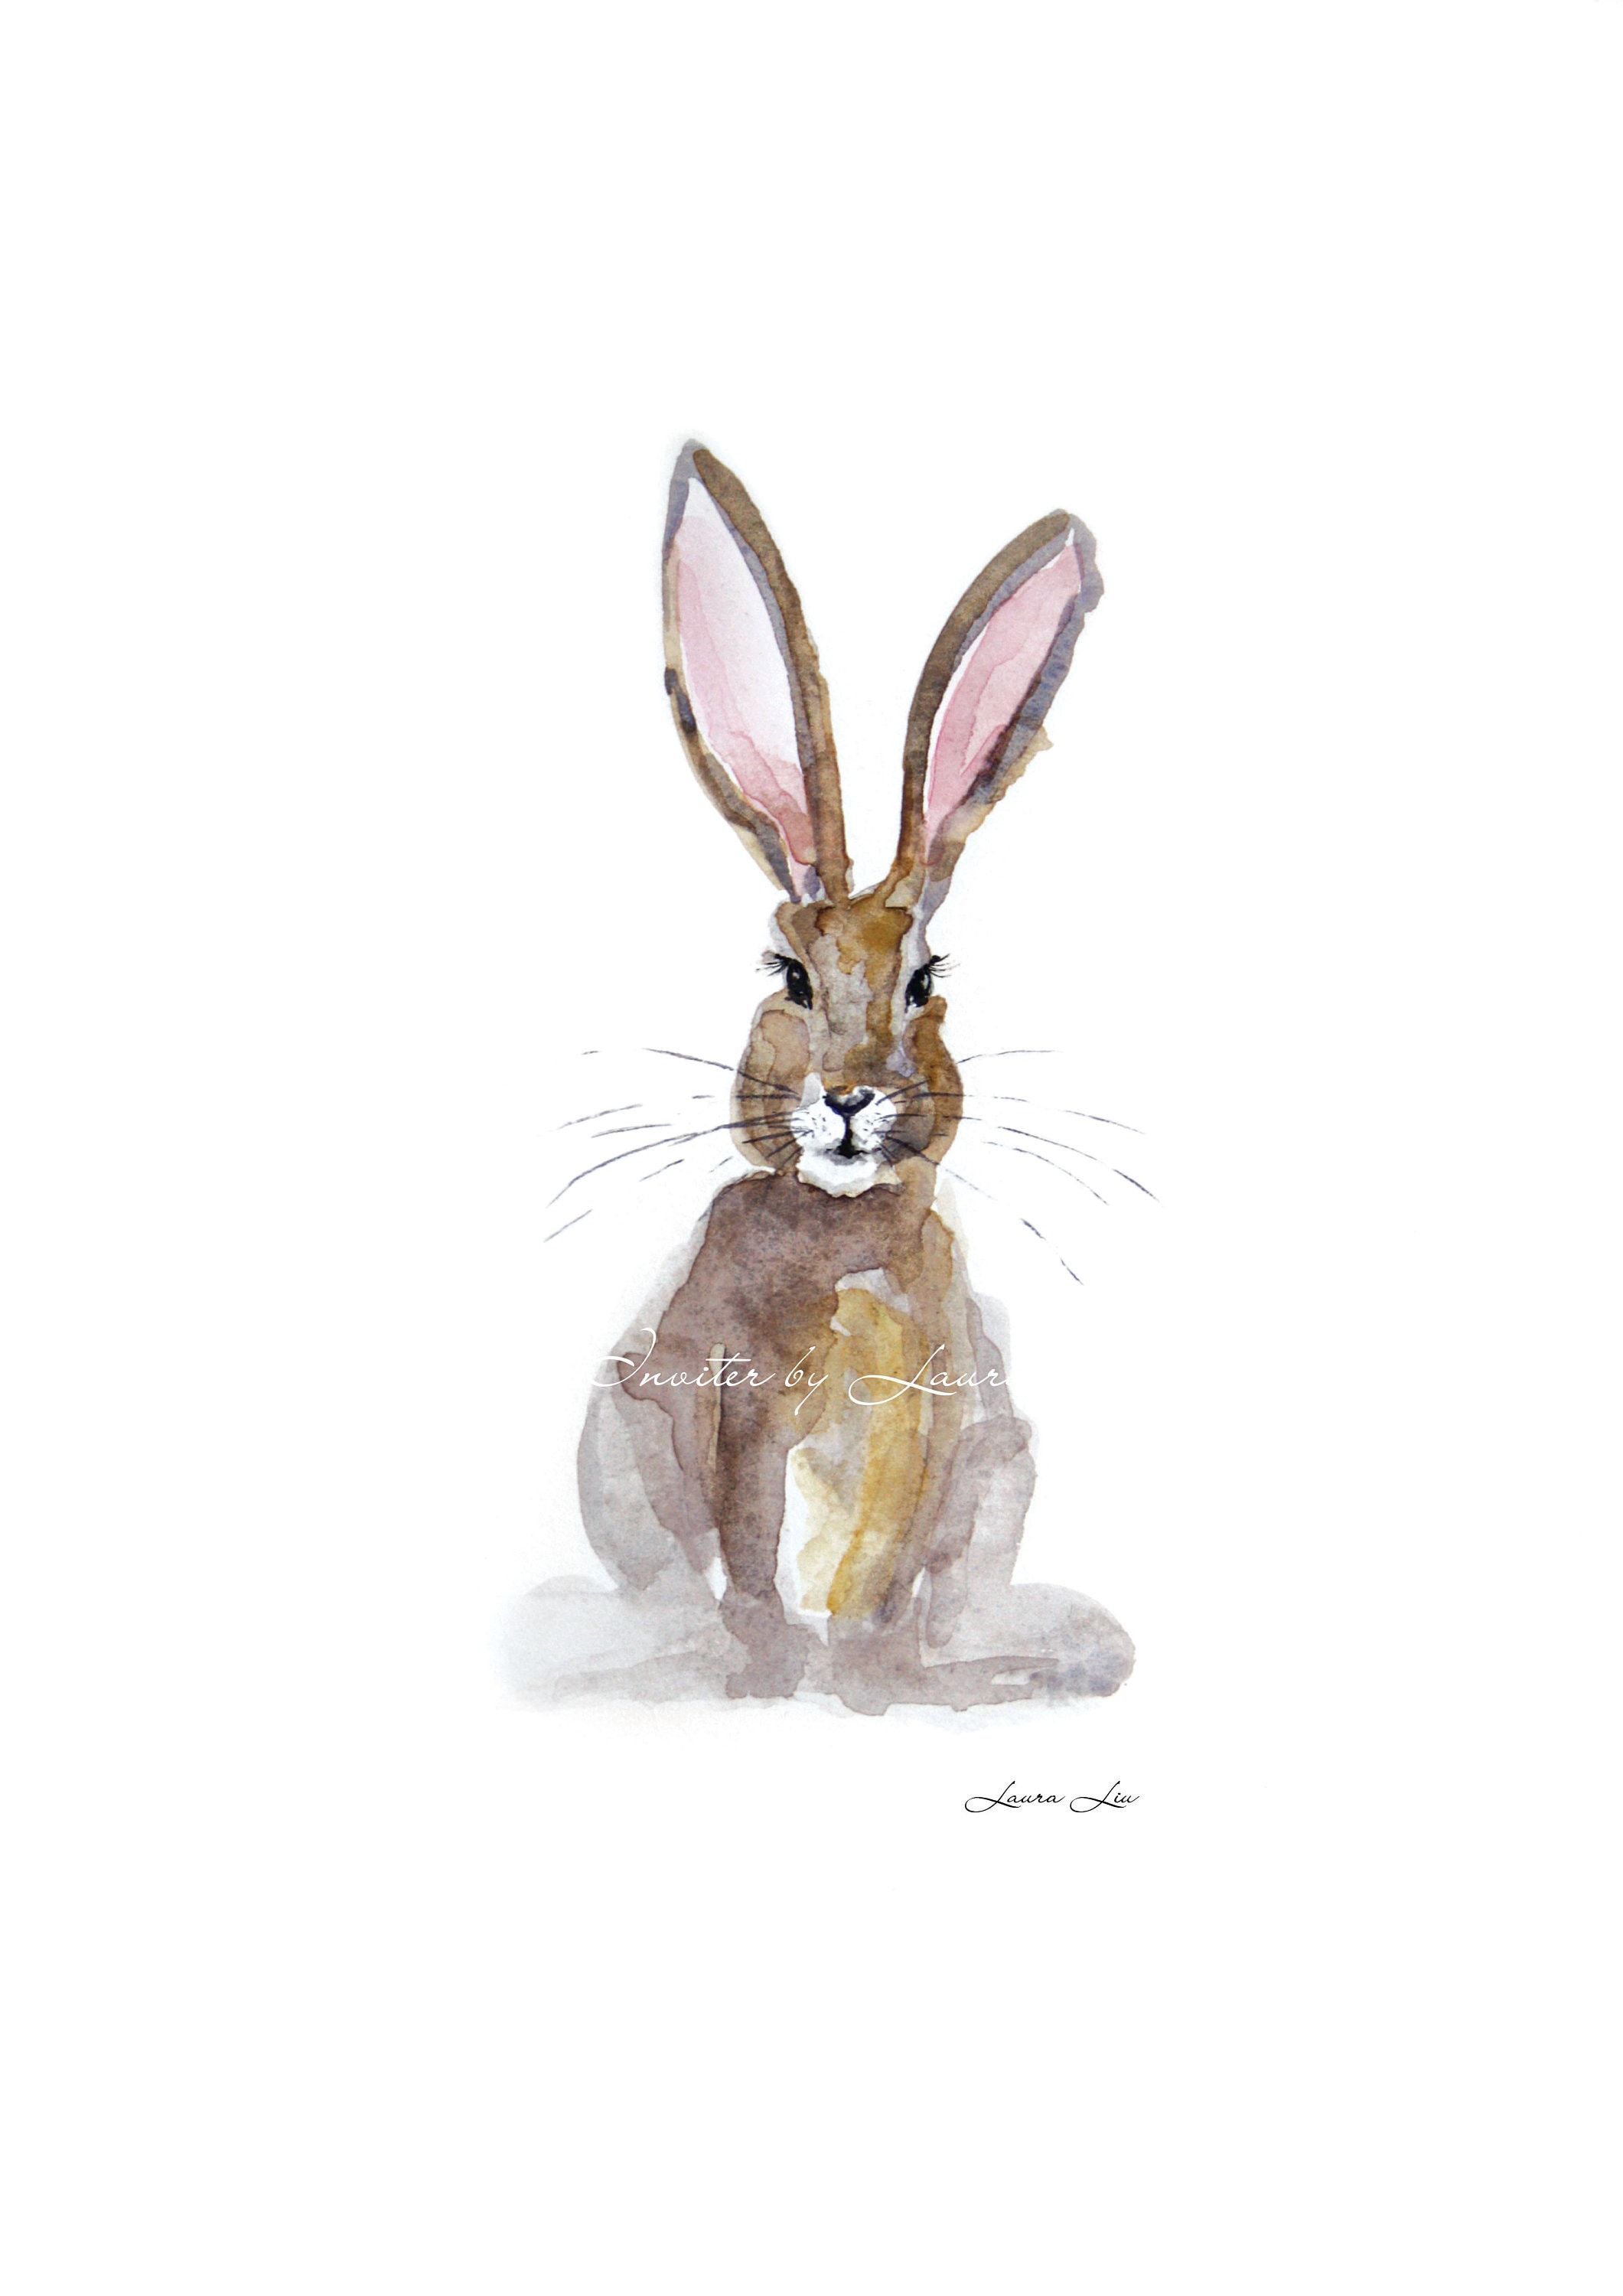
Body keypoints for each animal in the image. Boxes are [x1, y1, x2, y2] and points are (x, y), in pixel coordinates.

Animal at [536, 443, 1135, 1712]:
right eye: (790, 975)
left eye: (924, 980)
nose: (852, 1096)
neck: (841, 1232)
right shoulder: (735, 1410)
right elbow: (753, 1547)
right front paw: (771, 1674)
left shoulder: (931, 1425)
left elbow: (876, 1573)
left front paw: (864, 1679)